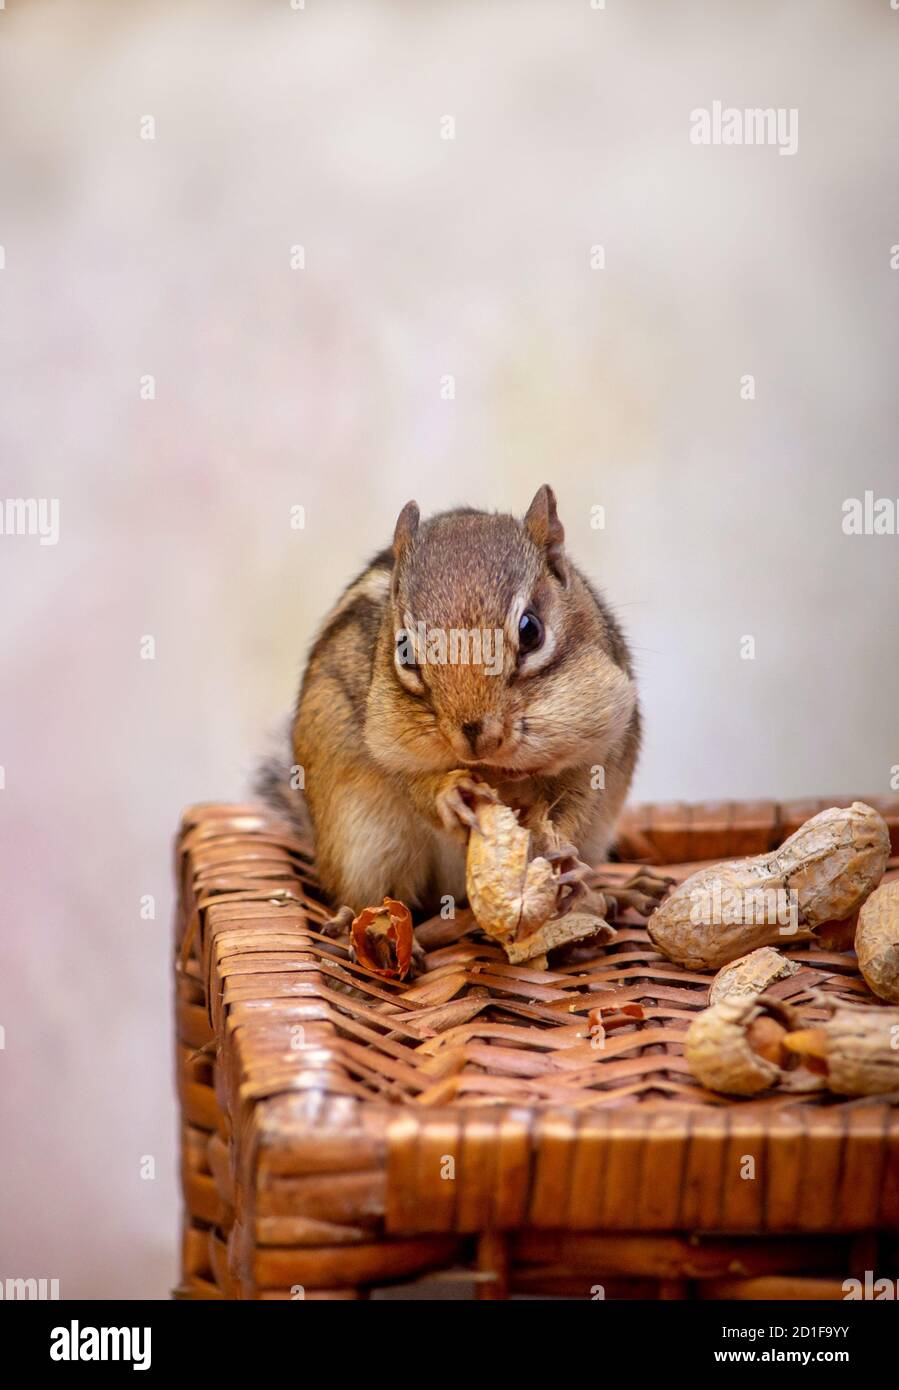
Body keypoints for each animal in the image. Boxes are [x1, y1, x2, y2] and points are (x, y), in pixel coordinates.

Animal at [257, 485, 659, 923]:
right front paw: (450, 793)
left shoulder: (601, 742)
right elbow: (414, 784)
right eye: (404, 649)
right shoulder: (385, 742)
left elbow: (576, 802)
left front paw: (565, 860)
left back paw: (617, 894)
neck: (497, 771)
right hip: (359, 843)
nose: (475, 736)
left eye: (530, 630)